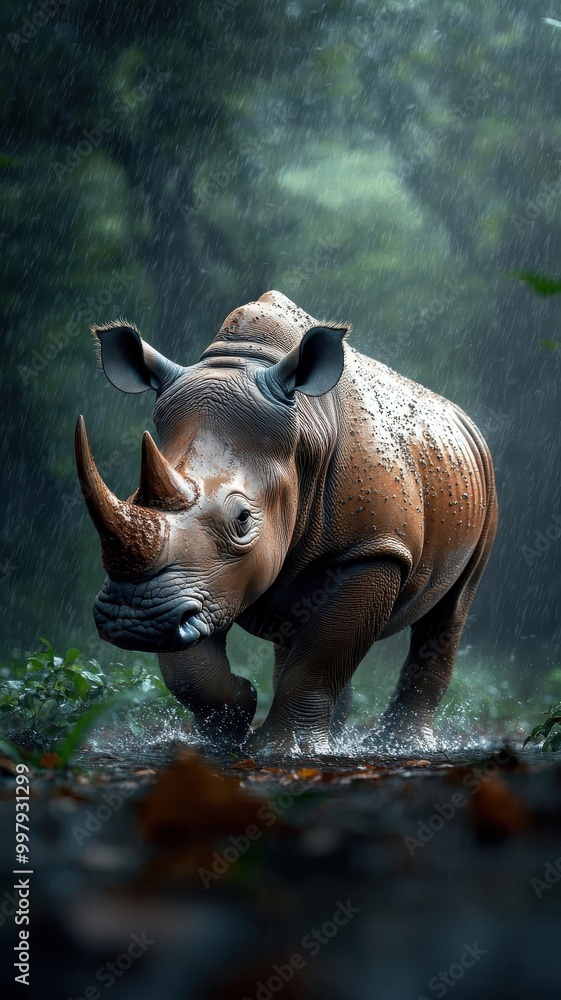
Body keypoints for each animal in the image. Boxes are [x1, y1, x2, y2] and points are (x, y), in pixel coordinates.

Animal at [75, 290, 497, 755]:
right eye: (133, 499)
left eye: (243, 520)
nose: (132, 618)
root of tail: (459, 415)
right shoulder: (197, 581)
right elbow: (187, 663)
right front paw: (234, 722)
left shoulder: (375, 549)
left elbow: (323, 654)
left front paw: (282, 750)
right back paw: (336, 735)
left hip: (484, 481)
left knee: (450, 610)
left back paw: (399, 746)